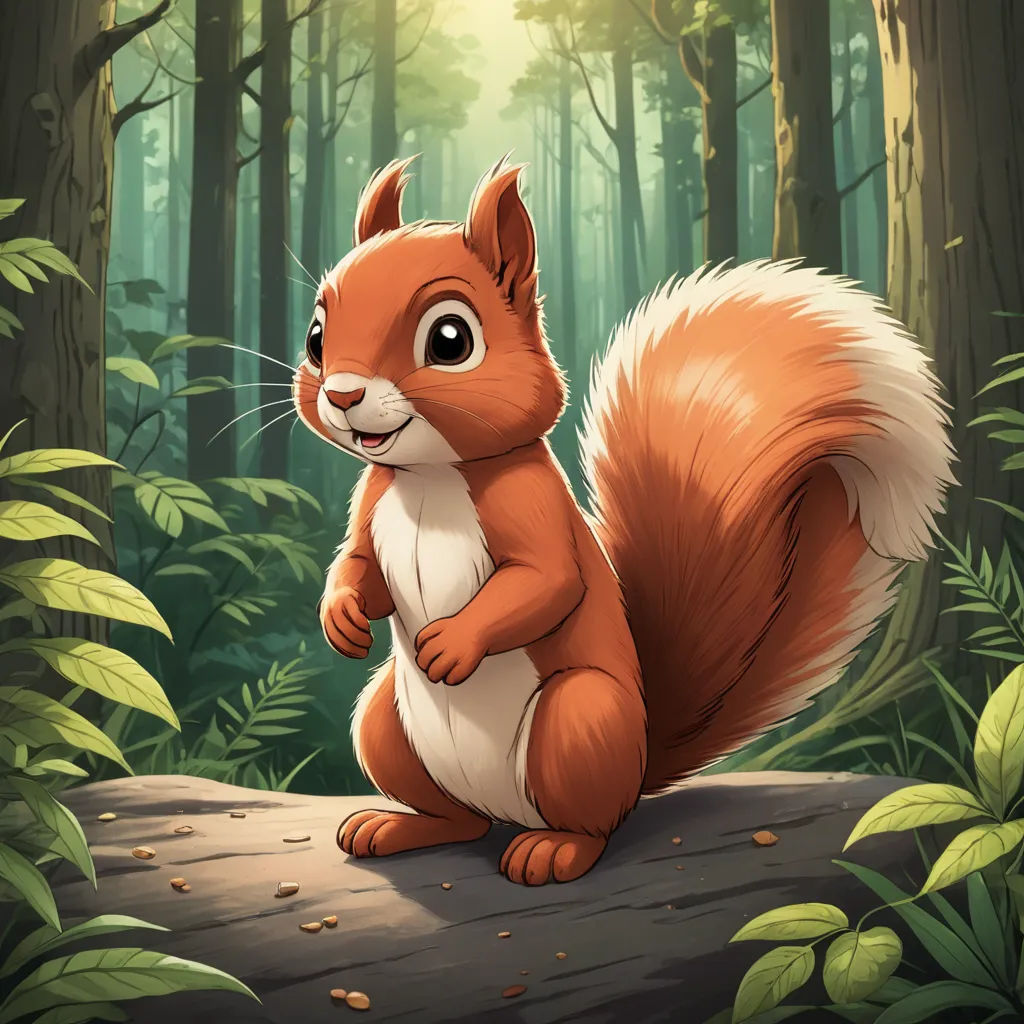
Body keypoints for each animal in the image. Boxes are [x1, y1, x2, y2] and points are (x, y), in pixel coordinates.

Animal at [293, 155, 955, 887]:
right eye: (316, 337)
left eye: (450, 340)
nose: (342, 394)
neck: (428, 480)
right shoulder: (371, 507)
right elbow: (360, 567)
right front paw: (341, 615)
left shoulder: (533, 510)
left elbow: (547, 583)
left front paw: (453, 643)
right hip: (385, 723)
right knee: (457, 819)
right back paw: (395, 826)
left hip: (580, 720)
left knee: (592, 825)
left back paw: (553, 850)